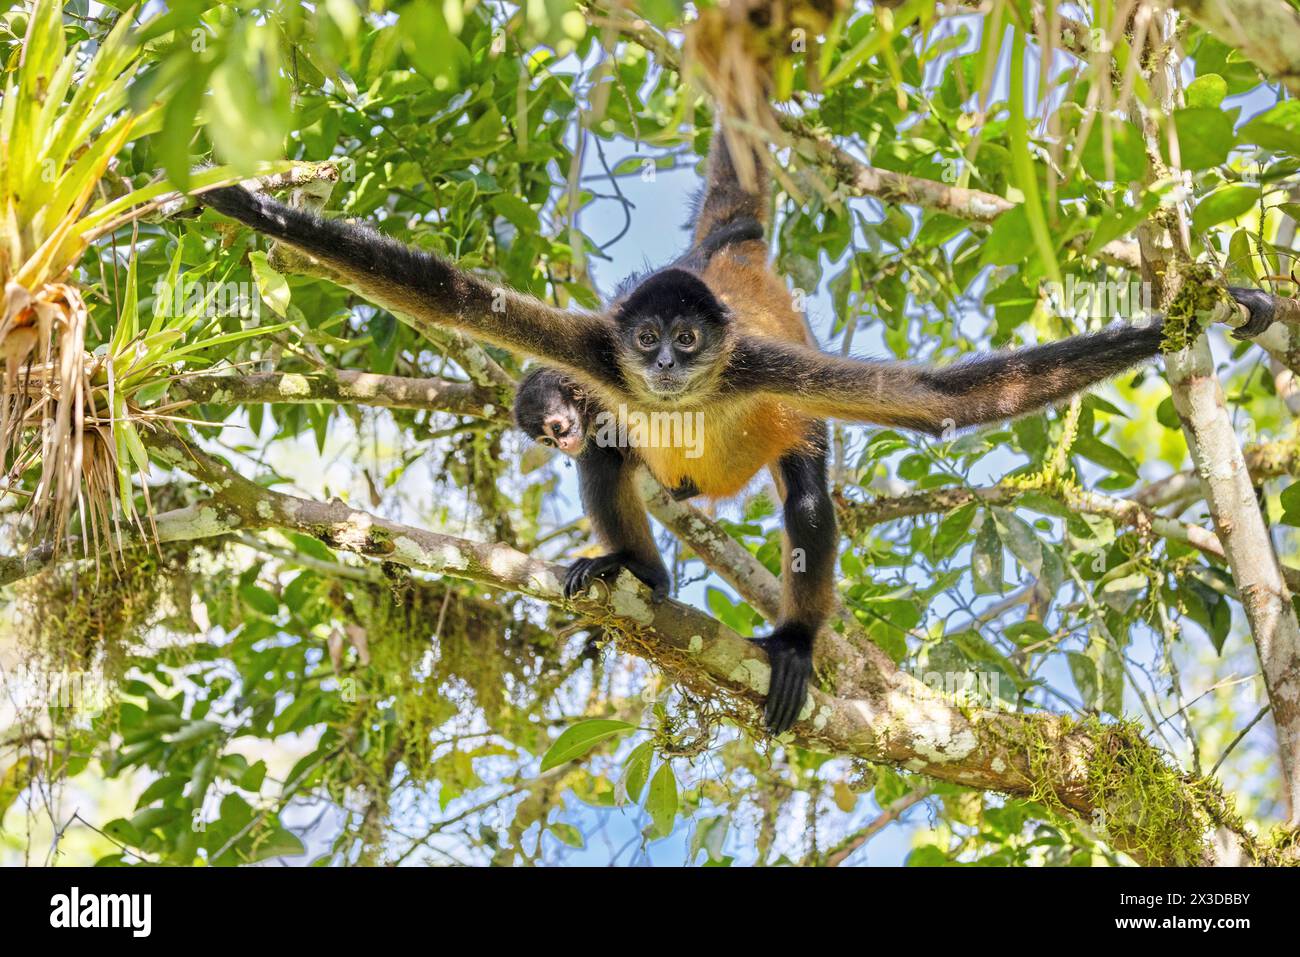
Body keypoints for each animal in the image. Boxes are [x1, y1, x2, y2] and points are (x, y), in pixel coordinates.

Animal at [198, 131, 1277, 736]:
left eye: (685, 341)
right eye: (647, 340)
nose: (670, 365)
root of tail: (730, 262)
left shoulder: (759, 368)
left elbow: (937, 400)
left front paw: (1184, 321)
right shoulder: (595, 351)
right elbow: (443, 293)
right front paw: (242, 201)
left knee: (806, 497)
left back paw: (794, 641)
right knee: (614, 459)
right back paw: (640, 573)